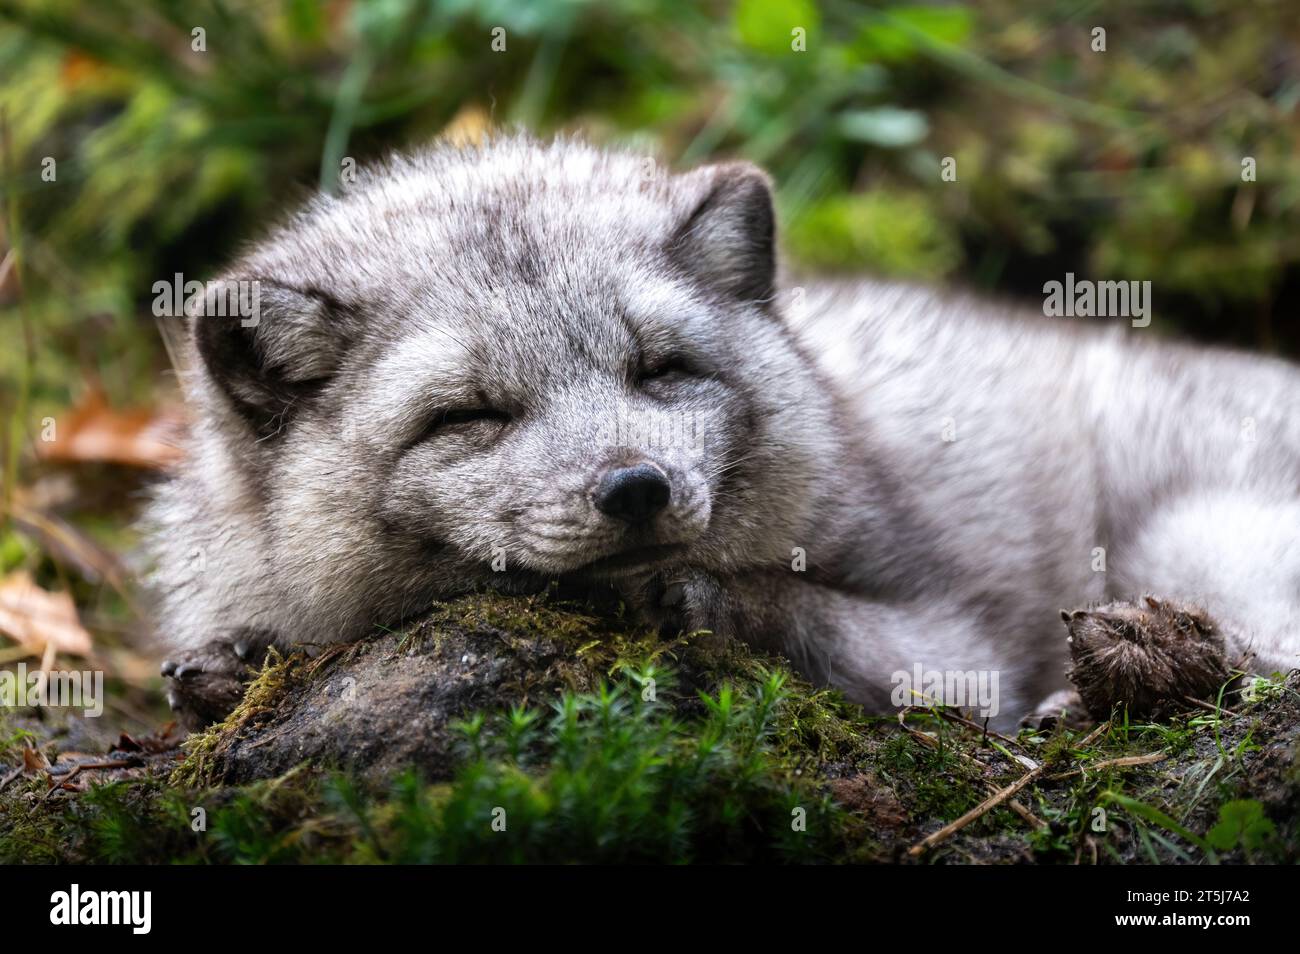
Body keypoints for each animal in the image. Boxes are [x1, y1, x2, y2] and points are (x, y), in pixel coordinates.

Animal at [147, 135, 1300, 729]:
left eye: (660, 369)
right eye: (469, 415)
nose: (636, 488)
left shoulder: (959, 642)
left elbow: (810, 616)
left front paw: (704, 595)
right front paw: (229, 669)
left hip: (1182, 539)